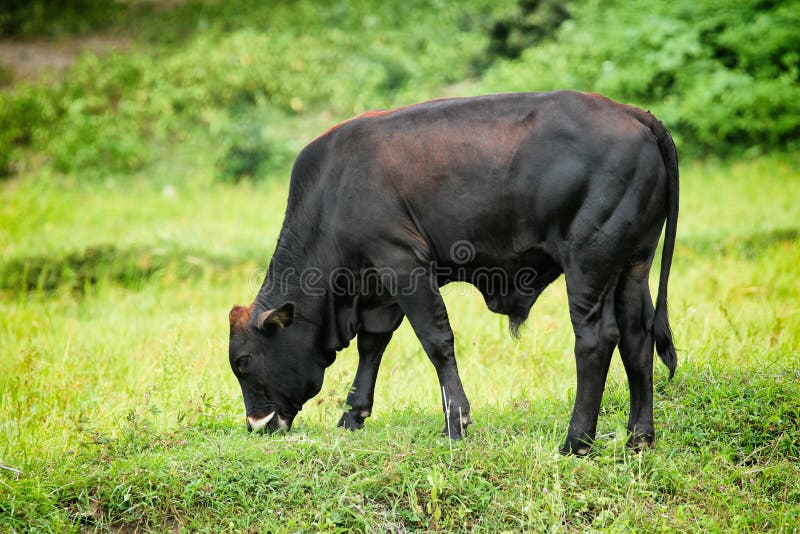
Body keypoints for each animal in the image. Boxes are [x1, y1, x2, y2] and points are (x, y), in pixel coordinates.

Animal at [228, 91, 678, 455]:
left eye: (245, 361)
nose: (258, 425)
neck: (330, 193)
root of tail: (632, 112)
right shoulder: (380, 288)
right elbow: (373, 346)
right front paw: (353, 415)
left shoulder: (403, 263)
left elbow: (437, 341)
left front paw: (455, 422)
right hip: (633, 264)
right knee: (636, 338)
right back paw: (639, 437)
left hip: (589, 262)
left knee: (595, 339)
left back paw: (576, 441)